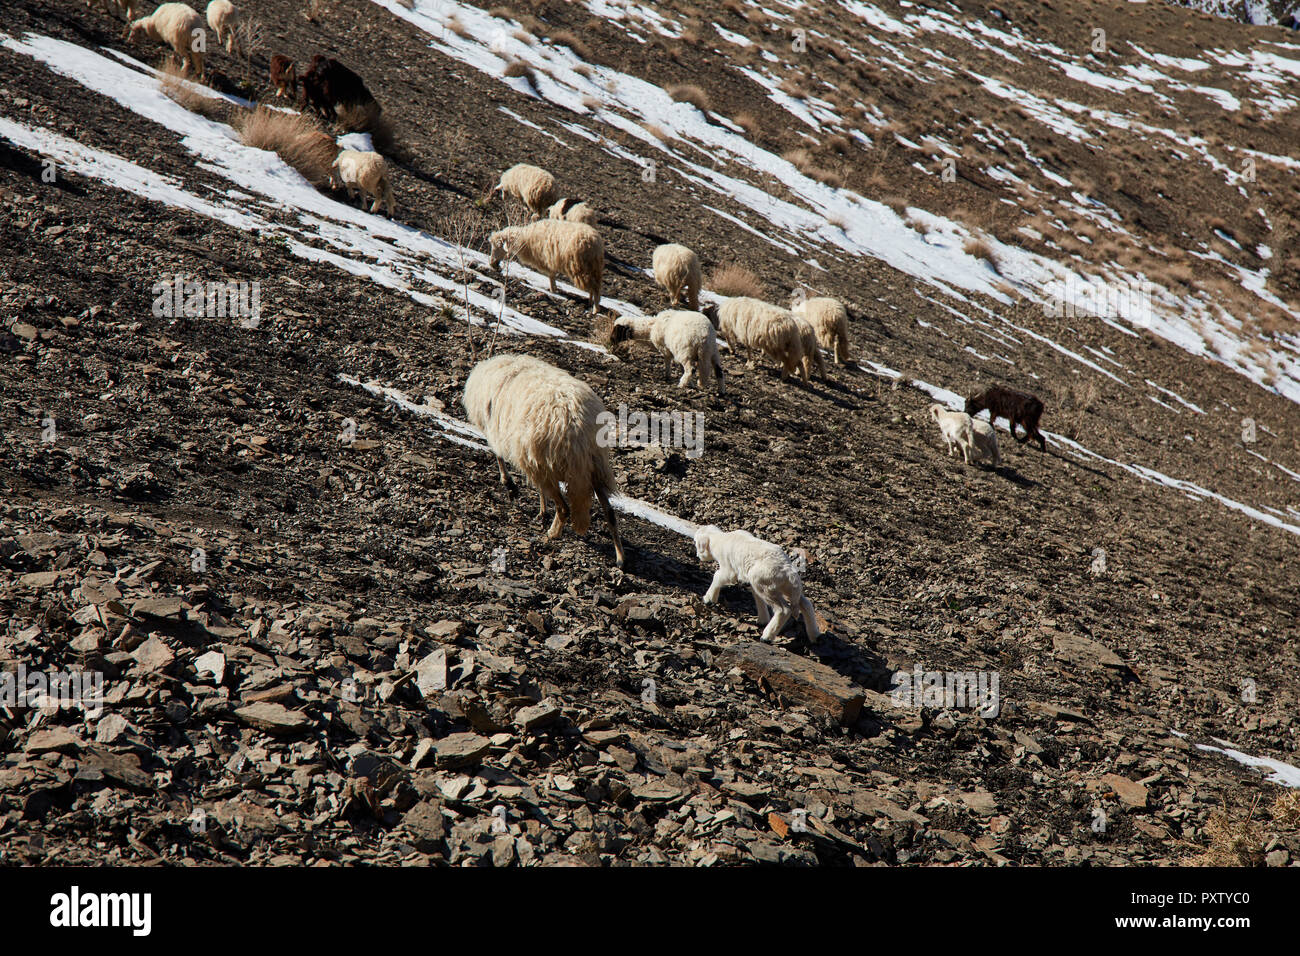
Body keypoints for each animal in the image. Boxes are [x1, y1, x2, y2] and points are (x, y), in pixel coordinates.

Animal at [463, 354, 625, 567]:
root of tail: (580, 424)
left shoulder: (501, 433)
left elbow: (499, 456)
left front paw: (509, 483)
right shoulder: (533, 459)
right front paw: (541, 511)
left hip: (556, 464)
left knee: (564, 508)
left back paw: (553, 533)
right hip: (594, 466)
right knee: (610, 513)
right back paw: (620, 558)